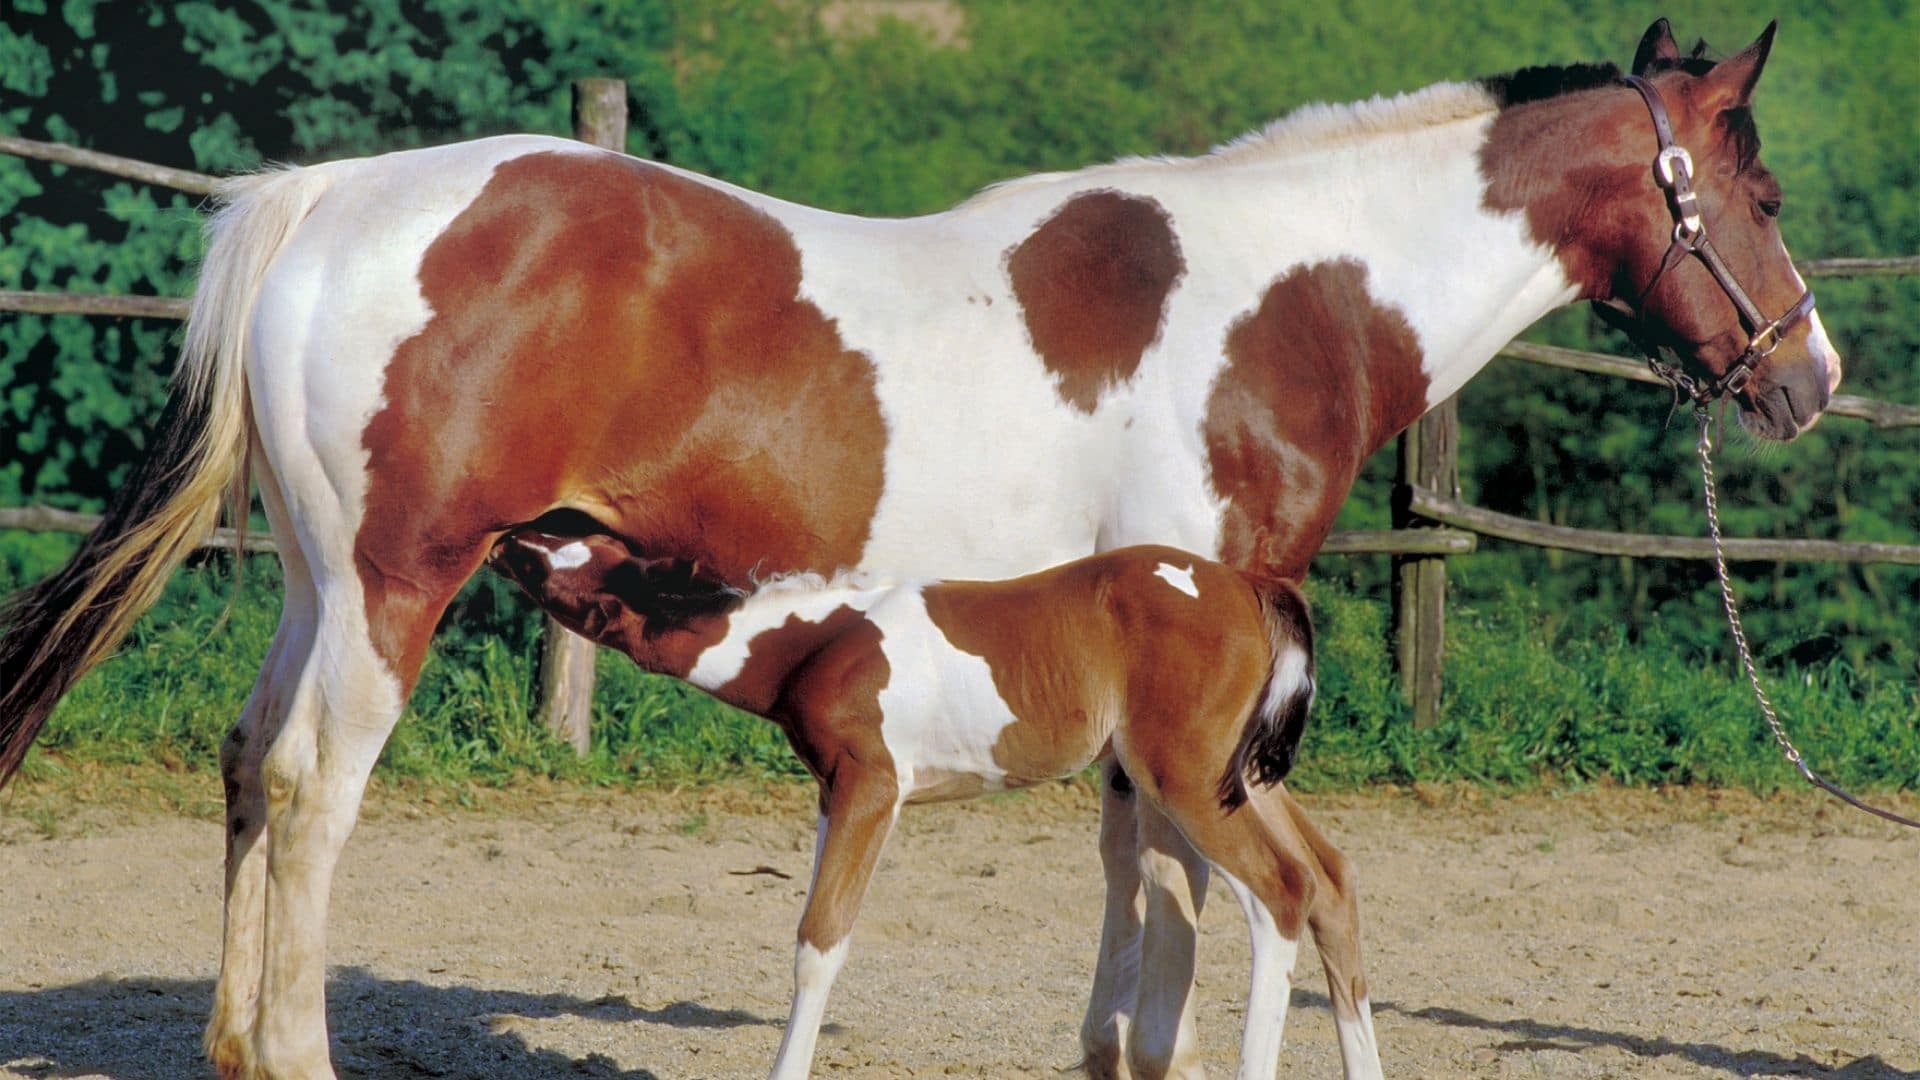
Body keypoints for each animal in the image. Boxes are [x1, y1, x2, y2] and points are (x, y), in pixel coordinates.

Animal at [488, 527, 1375, 1080]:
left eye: (569, 571)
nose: (508, 540)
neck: (819, 640)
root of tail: (1250, 587)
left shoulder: (872, 787)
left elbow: (820, 941)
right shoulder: (832, 794)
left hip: (1186, 780)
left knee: (1282, 891)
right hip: (1239, 777)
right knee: (1330, 879)